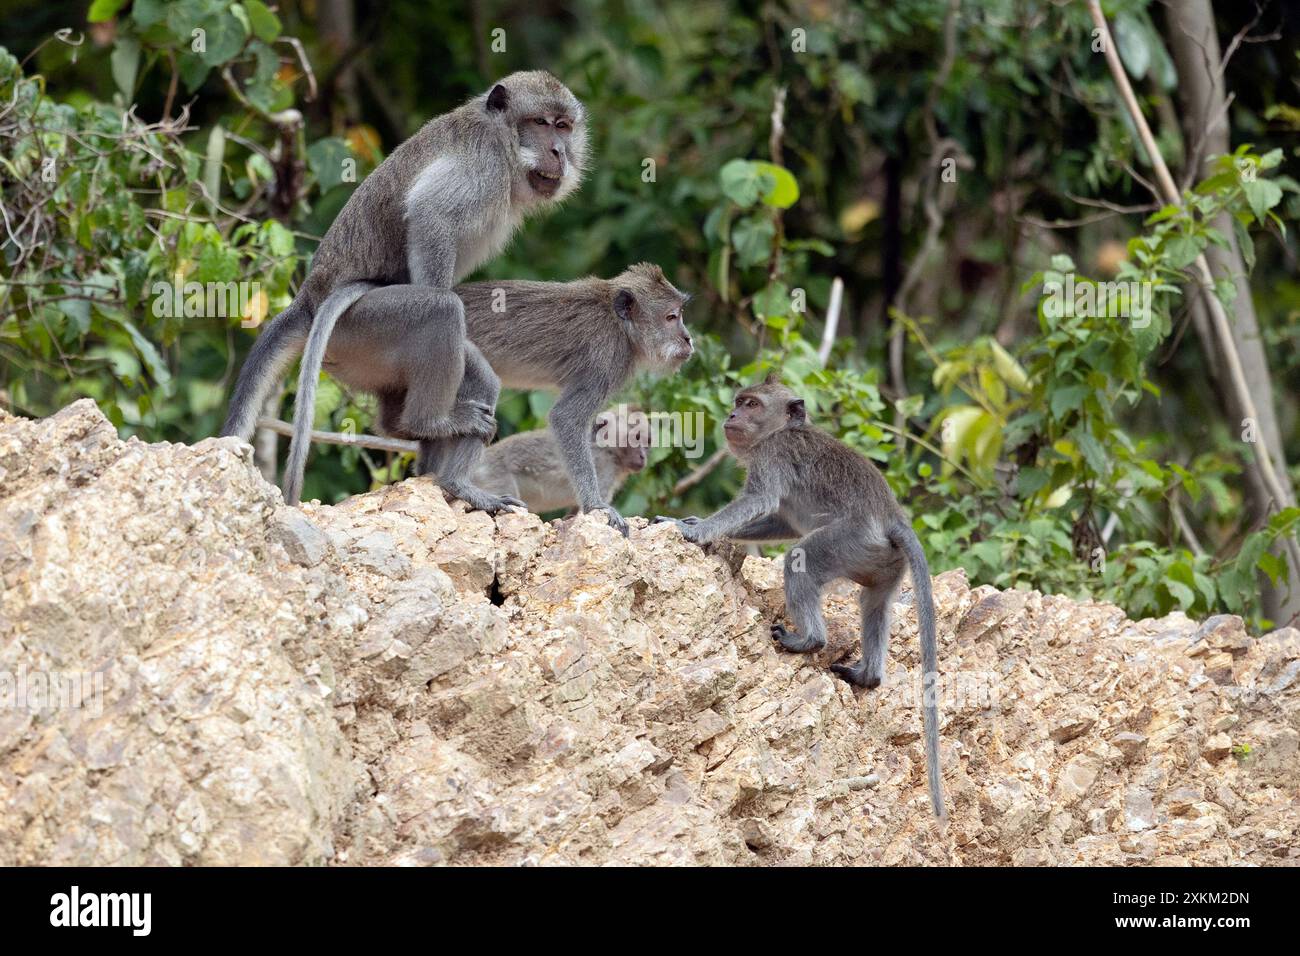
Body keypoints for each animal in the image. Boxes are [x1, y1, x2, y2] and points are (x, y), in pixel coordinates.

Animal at [219, 71, 588, 508]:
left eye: (563, 126)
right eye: (540, 123)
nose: (558, 151)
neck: (504, 141)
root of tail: (309, 301)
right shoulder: (482, 167)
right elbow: (432, 216)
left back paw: (406, 431)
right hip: (362, 328)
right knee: (441, 310)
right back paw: (430, 424)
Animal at [471, 408, 650, 513]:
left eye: (647, 442)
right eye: (636, 438)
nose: (643, 456)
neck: (611, 450)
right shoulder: (606, 467)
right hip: (495, 477)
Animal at [654, 373, 944, 818]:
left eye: (752, 404)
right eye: (739, 402)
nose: (732, 416)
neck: (784, 430)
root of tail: (892, 517)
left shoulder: (773, 455)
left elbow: (760, 502)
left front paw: (695, 529)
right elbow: (780, 519)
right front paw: (694, 521)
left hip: (849, 541)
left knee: (800, 559)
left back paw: (809, 640)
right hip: (885, 563)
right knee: (874, 603)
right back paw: (868, 674)